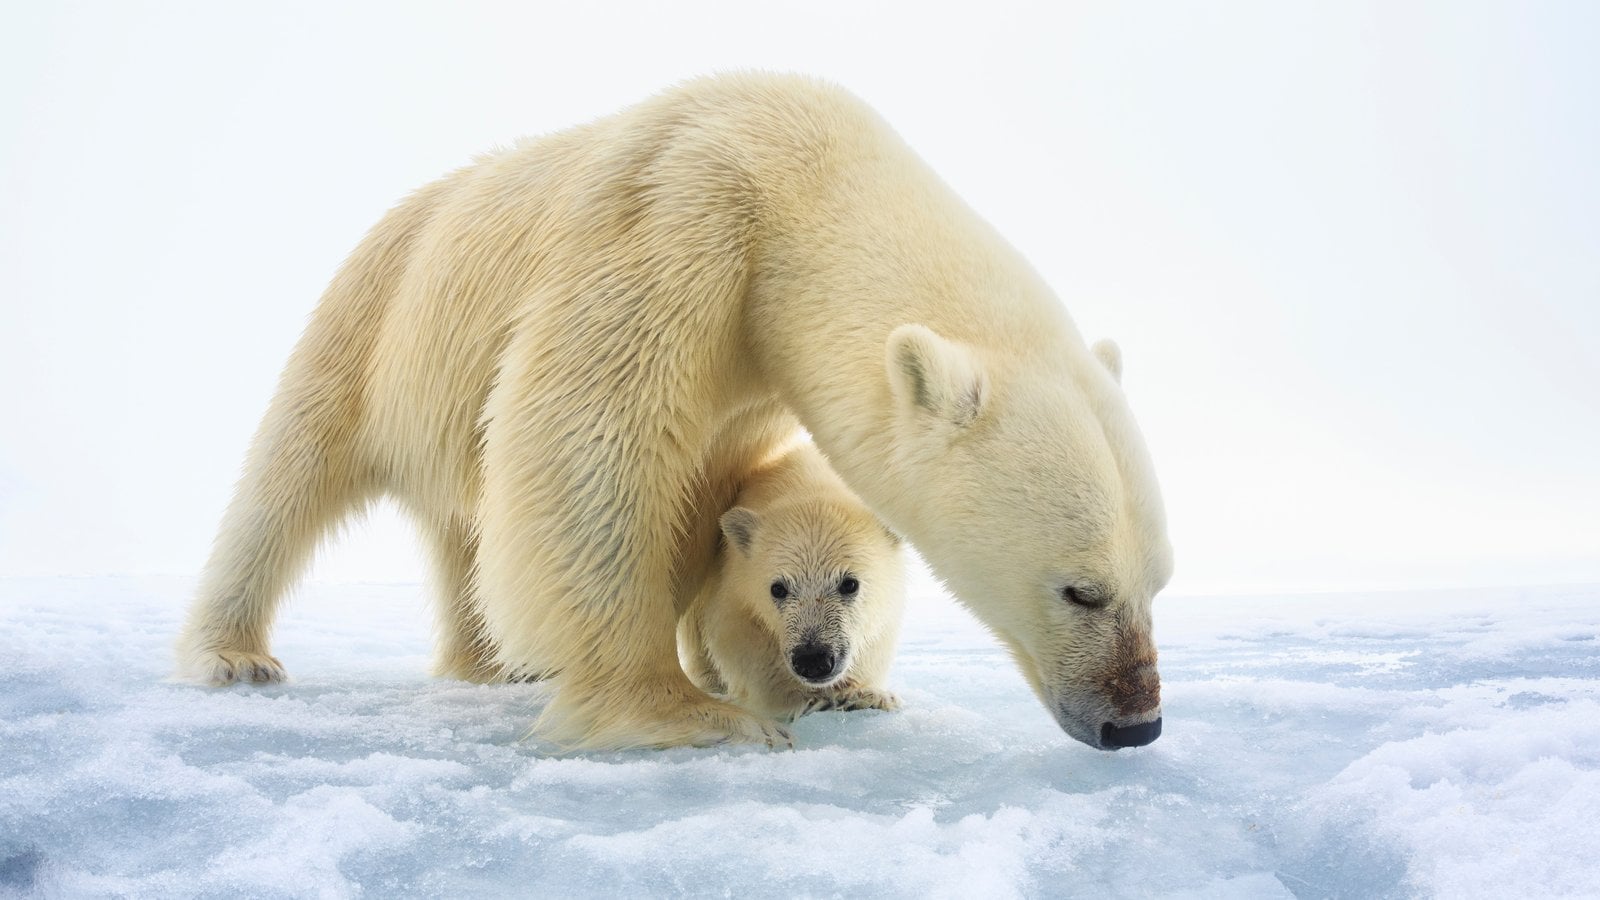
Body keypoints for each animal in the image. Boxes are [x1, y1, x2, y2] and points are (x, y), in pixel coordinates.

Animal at [678, 439, 905, 723]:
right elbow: (744, 640)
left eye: (850, 583)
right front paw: (810, 700)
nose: (813, 660)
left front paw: (867, 694)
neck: (810, 482)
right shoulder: (736, 582)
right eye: (778, 588)